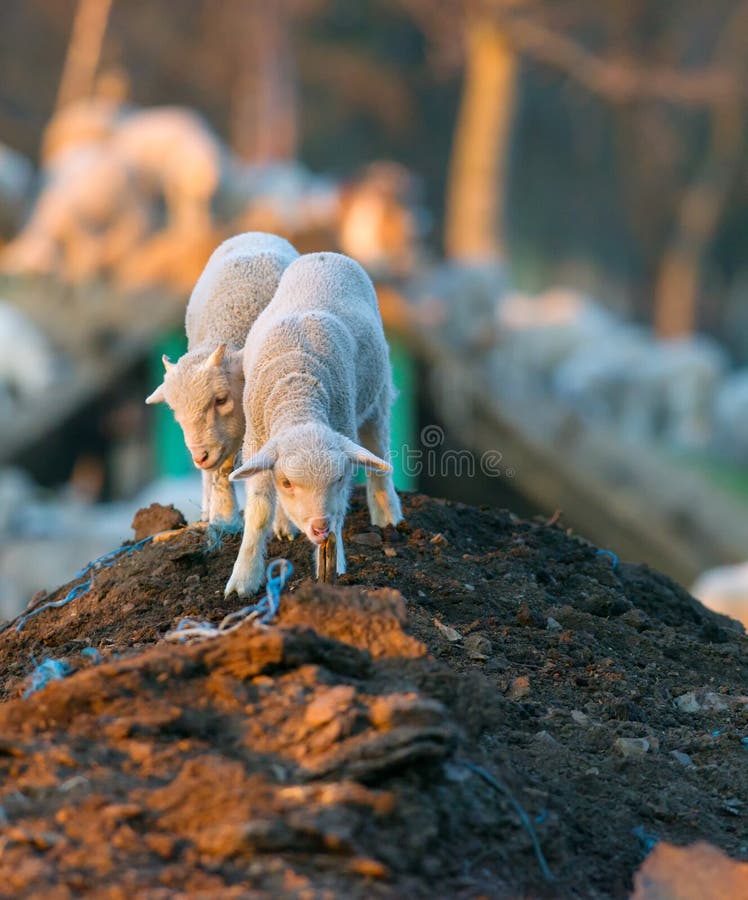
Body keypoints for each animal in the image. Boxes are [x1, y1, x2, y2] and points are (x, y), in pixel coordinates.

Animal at [145, 232, 299, 525]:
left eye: (220, 400)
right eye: (174, 412)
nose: (199, 456)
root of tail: (254, 233)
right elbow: (222, 468)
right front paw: (225, 516)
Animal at [226, 251, 403, 596]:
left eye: (339, 478)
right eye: (286, 483)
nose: (319, 528)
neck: (298, 396)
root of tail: (326, 255)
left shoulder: (343, 429)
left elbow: (340, 512)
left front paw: (336, 565)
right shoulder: (256, 442)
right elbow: (258, 513)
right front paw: (244, 577)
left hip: (378, 397)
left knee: (379, 454)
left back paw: (387, 514)